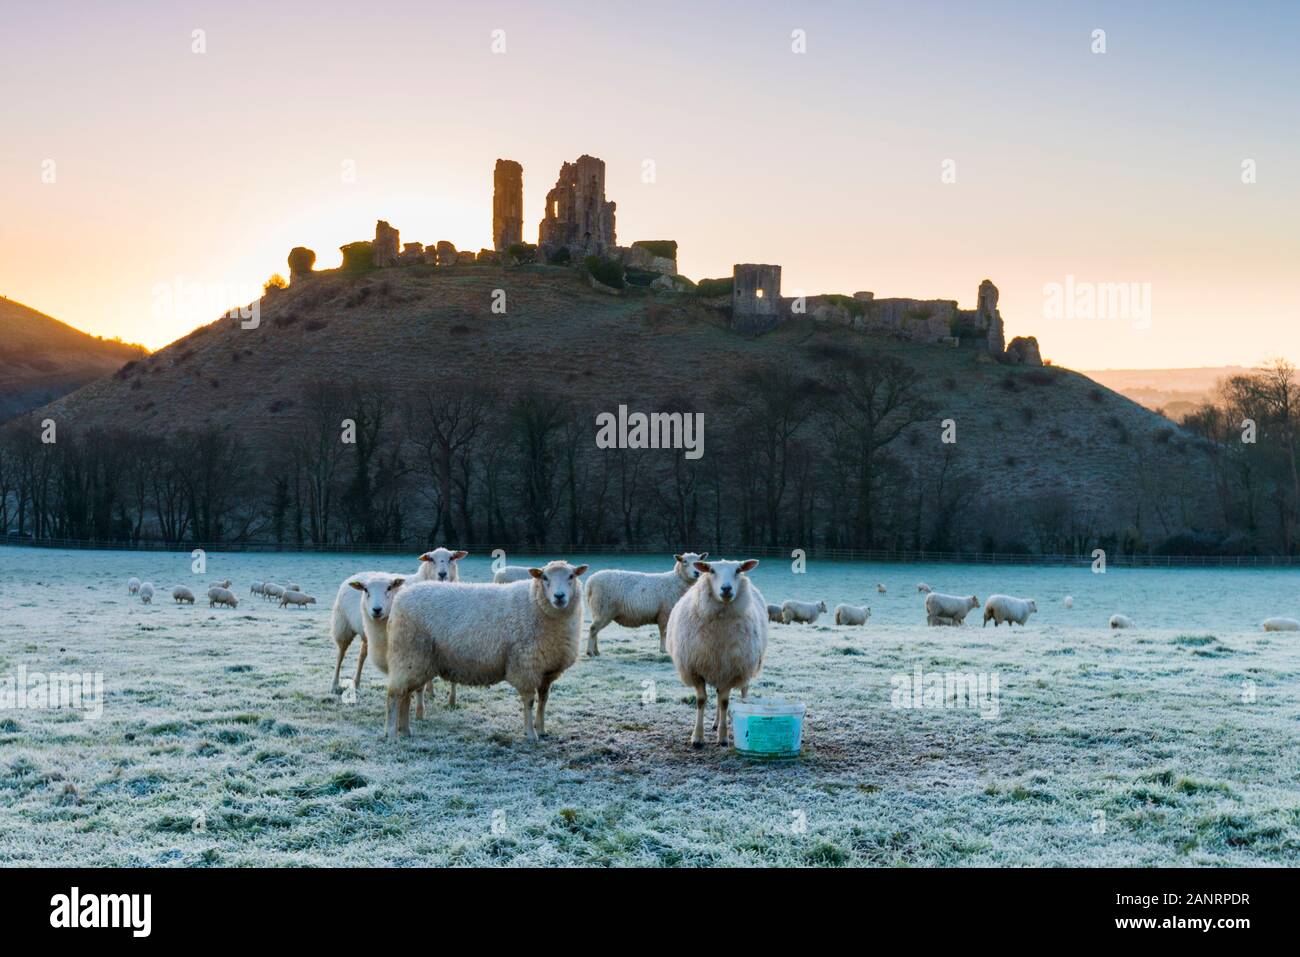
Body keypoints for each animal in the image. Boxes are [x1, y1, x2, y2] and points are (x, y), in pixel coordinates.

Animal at [384, 561, 589, 741]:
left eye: (571, 576)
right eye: (545, 577)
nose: (559, 596)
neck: (535, 603)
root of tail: (402, 596)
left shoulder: (547, 670)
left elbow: (544, 700)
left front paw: (542, 729)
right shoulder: (525, 666)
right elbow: (530, 701)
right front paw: (531, 734)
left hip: (415, 662)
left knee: (406, 695)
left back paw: (406, 731)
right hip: (408, 654)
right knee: (395, 694)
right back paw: (392, 734)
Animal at [666, 559, 766, 748]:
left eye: (738, 570)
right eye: (711, 570)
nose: (726, 588)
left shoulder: (730, 669)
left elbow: (725, 702)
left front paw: (723, 737)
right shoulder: (696, 670)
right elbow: (701, 701)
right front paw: (697, 738)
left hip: (745, 666)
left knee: (739, 692)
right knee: (718, 697)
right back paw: (715, 723)